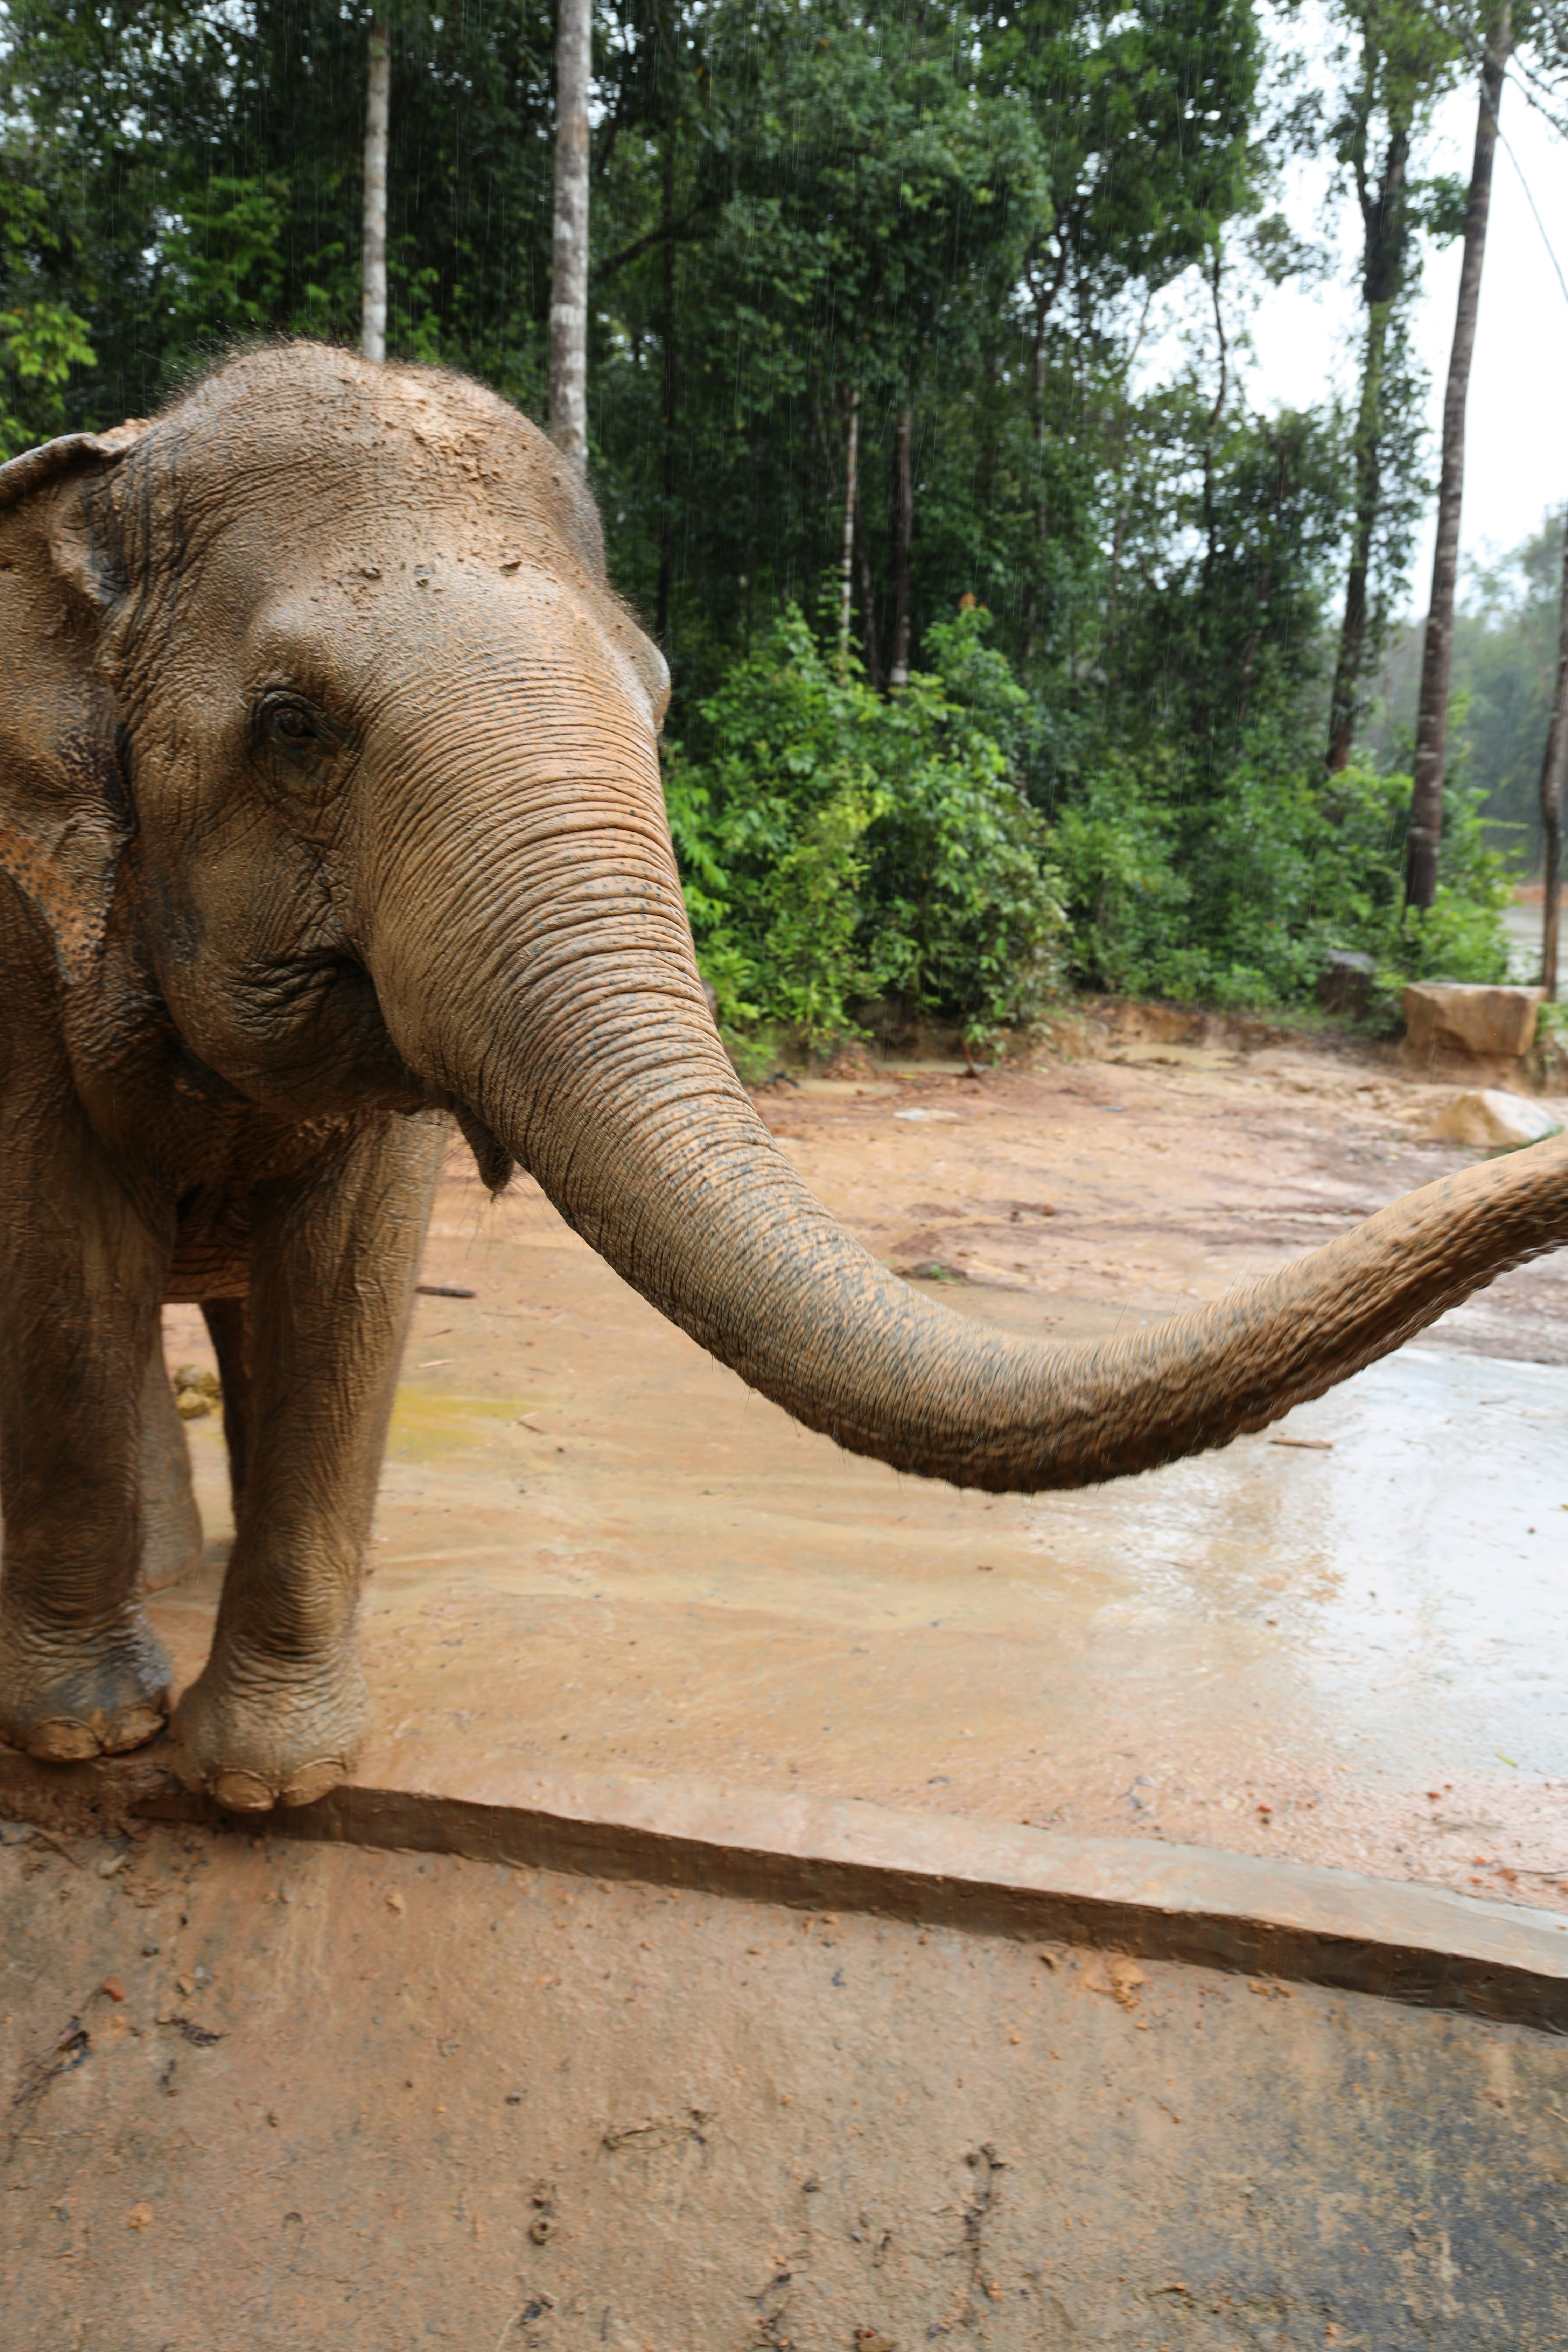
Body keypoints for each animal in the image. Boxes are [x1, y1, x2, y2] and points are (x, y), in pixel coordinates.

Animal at [1, 343, 1565, 1812]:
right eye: (296, 726)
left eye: (659, 700)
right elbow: (65, 1263)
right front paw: (87, 1740)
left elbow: (349, 1280)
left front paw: (267, 1782)